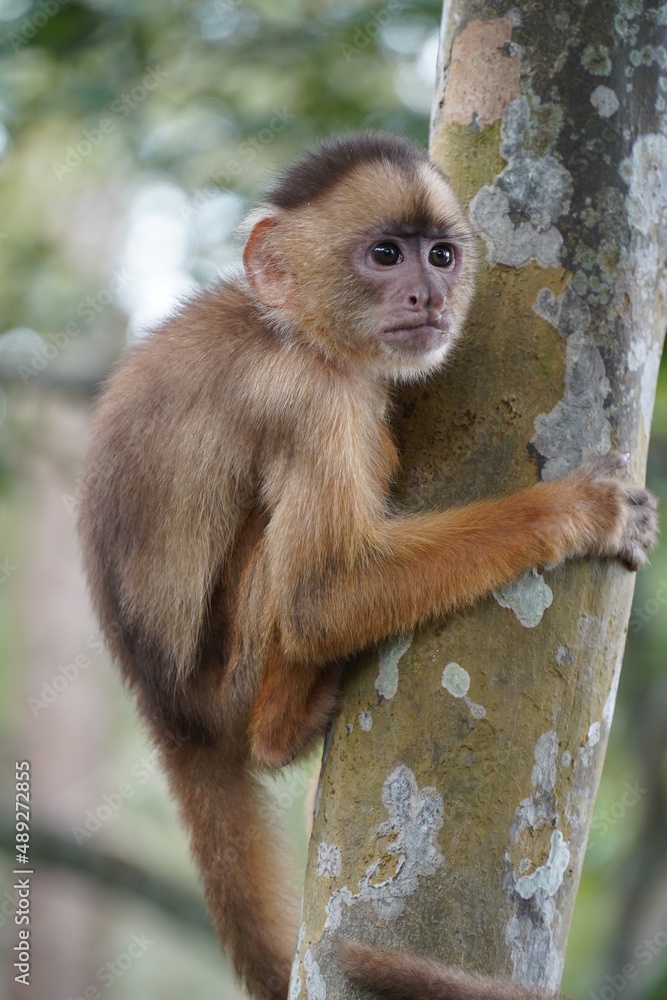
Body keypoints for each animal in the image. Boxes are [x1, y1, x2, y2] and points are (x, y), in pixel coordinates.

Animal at [77, 131, 657, 1000]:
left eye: (440, 255)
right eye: (385, 256)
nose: (427, 294)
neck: (288, 329)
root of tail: (167, 714)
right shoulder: (313, 397)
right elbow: (318, 599)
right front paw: (569, 513)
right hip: (229, 685)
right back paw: (283, 725)